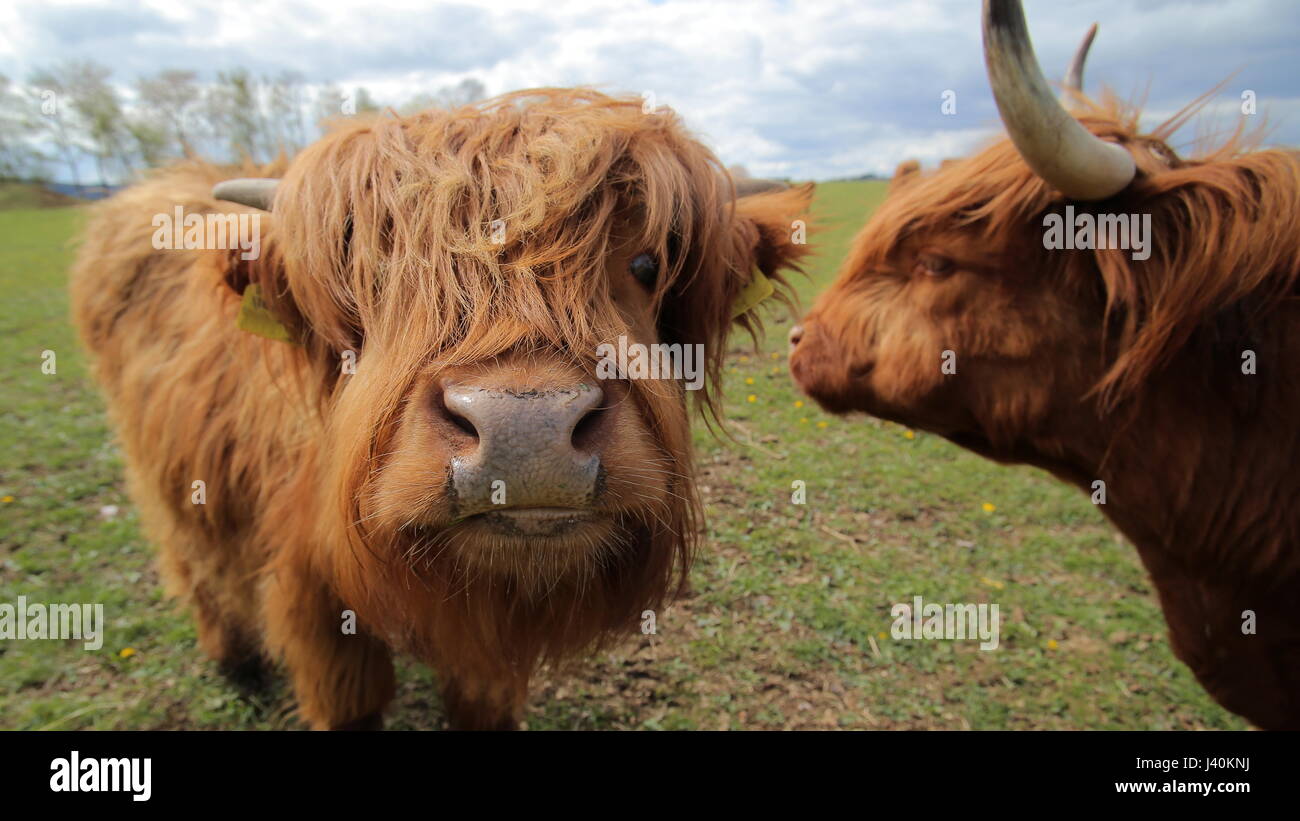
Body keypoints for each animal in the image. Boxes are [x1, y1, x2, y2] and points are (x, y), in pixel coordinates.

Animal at [71, 88, 811, 730]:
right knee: (196, 563)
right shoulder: (315, 604)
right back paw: (237, 665)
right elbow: (349, 701)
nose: (527, 434)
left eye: (647, 264)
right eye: (370, 272)